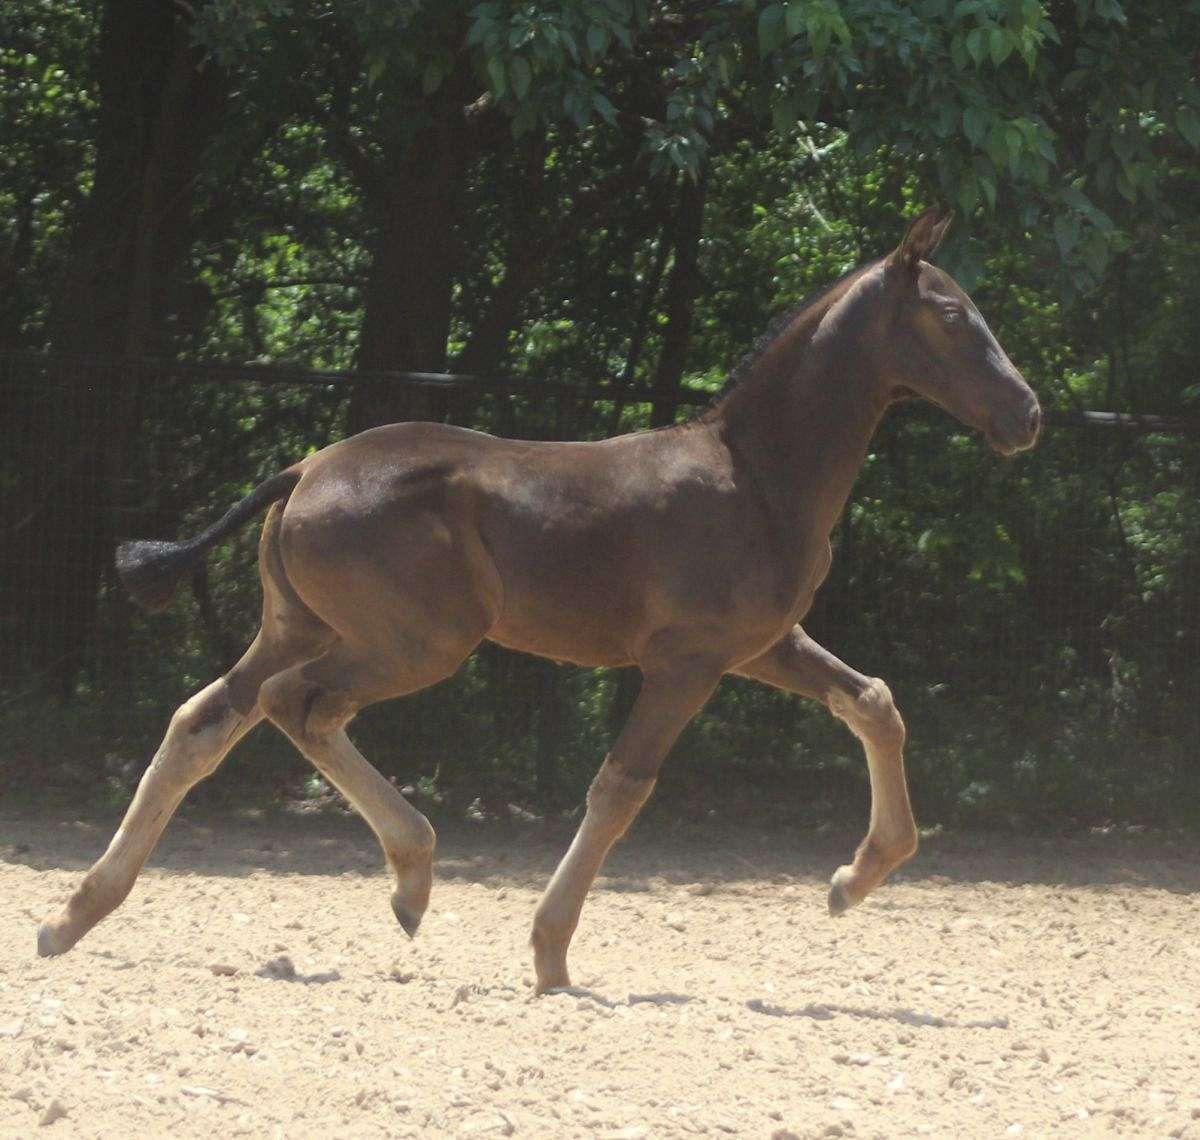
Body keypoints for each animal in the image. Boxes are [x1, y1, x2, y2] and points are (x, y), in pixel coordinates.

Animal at [37, 210, 1040, 992]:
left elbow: (873, 703)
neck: (758, 478)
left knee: (205, 720)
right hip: (415, 642)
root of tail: (304, 470)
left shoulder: (763, 644)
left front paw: (853, 879)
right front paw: (551, 953)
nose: (1028, 413)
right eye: (955, 315)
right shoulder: (687, 662)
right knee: (298, 706)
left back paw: (72, 916)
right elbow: (621, 787)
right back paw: (410, 878)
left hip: (300, 627)